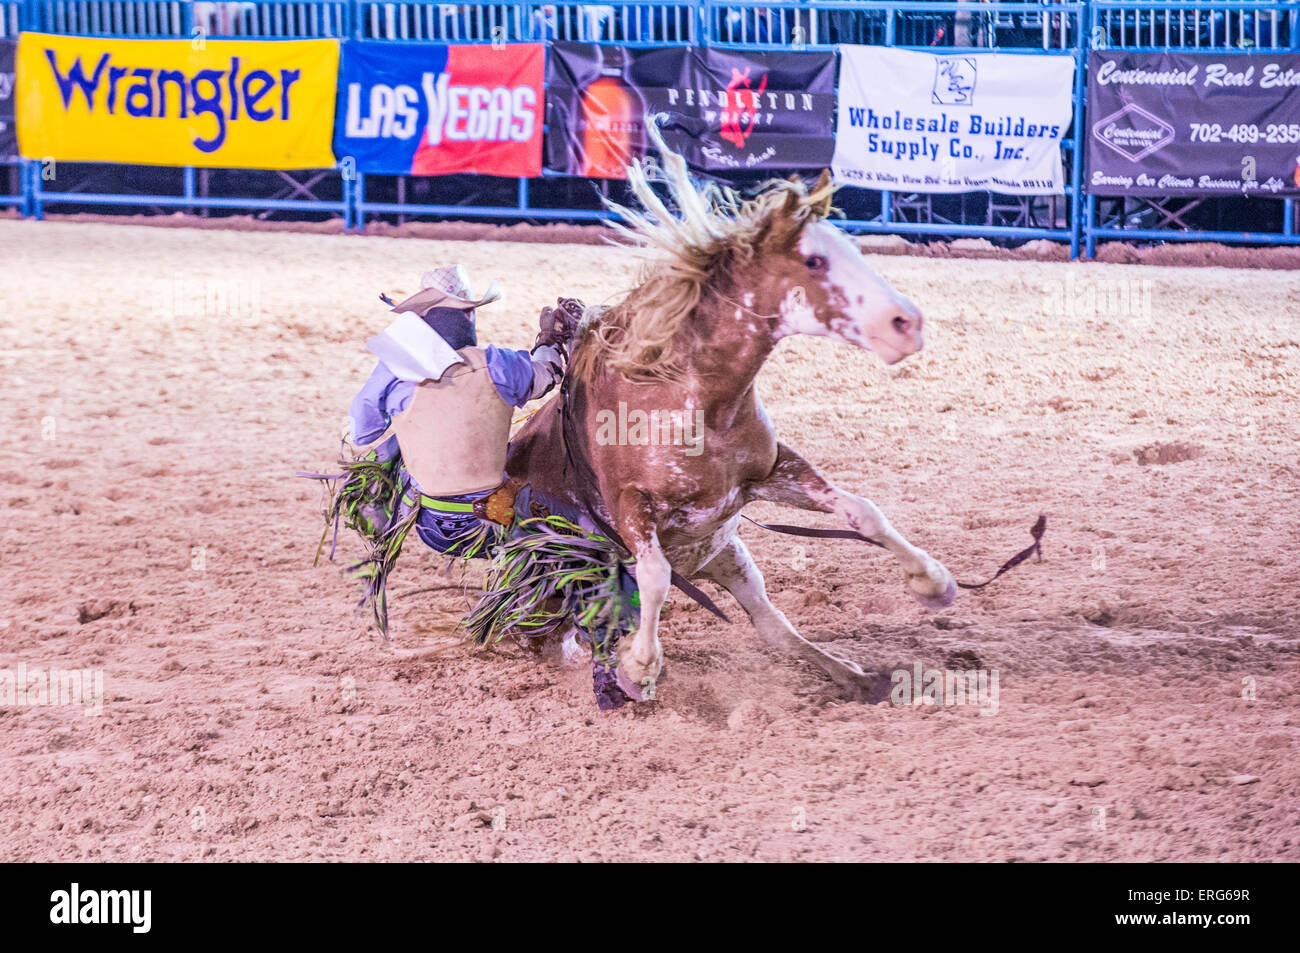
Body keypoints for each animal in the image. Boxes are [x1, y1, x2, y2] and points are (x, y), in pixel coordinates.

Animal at [503, 133, 957, 701]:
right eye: (814, 262)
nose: (907, 322)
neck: (700, 403)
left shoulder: (770, 473)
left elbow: (862, 511)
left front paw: (933, 582)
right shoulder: (631, 503)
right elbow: (655, 576)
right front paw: (639, 667)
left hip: (729, 557)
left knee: (773, 627)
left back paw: (853, 675)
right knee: (551, 632)